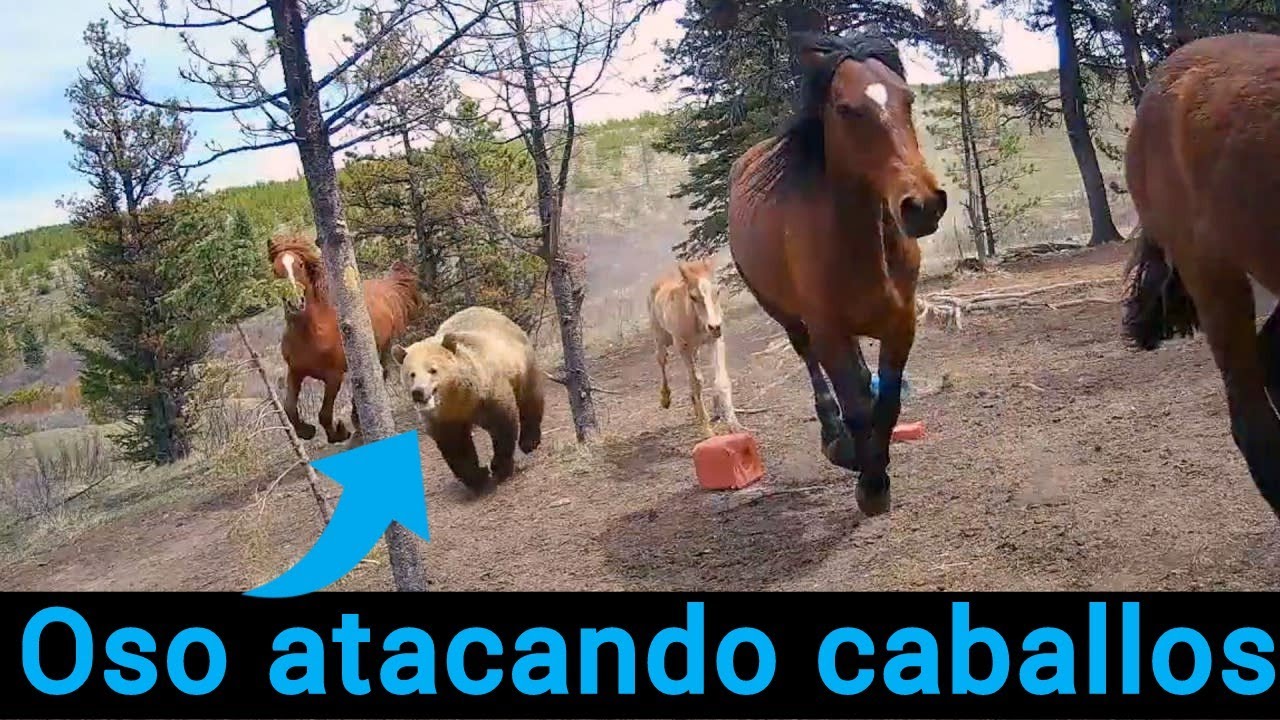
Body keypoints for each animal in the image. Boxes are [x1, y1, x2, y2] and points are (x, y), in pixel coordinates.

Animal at [267, 232, 422, 444]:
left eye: (299, 264)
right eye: (275, 270)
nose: (295, 302)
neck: (313, 332)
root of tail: (386, 287)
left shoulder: (334, 377)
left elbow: (324, 414)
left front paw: (339, 432)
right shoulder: (295, 371)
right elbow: (289, 408)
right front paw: (306, 431)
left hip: (382, 347)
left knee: (377, 375)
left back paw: (357, 420)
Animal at [391, 305, 545, 492]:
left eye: (432, 370)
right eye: (411, 374)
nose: (418, 392)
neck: (458, 396)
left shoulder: (488, 392)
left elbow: (503, 425)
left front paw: (499, 467)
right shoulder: (444, 418)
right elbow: (456, 446)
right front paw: (479, 476)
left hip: (522, 361)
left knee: (530, 397)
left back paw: (530, 441)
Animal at [647, 256, 744, 437]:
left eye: (717, 291)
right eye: (693, 296)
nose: (715, 327)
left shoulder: (715, 341)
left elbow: (720, 380)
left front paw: (734, 425)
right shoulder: (683, 347)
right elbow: (697, 382)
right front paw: (707, 429)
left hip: (695, 348)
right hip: (662, 339)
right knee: (662, 360)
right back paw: (666, 398)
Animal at [726, 29, 947, 517]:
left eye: (908, 99)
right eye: (846, 109)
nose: (923, 205)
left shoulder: (901, 324)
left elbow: (886, 402)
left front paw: (878, 470)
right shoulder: (827, 329)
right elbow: (859, 405)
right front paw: (871, 484)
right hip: (787, 316)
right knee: (813, 364)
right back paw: (837, 441)